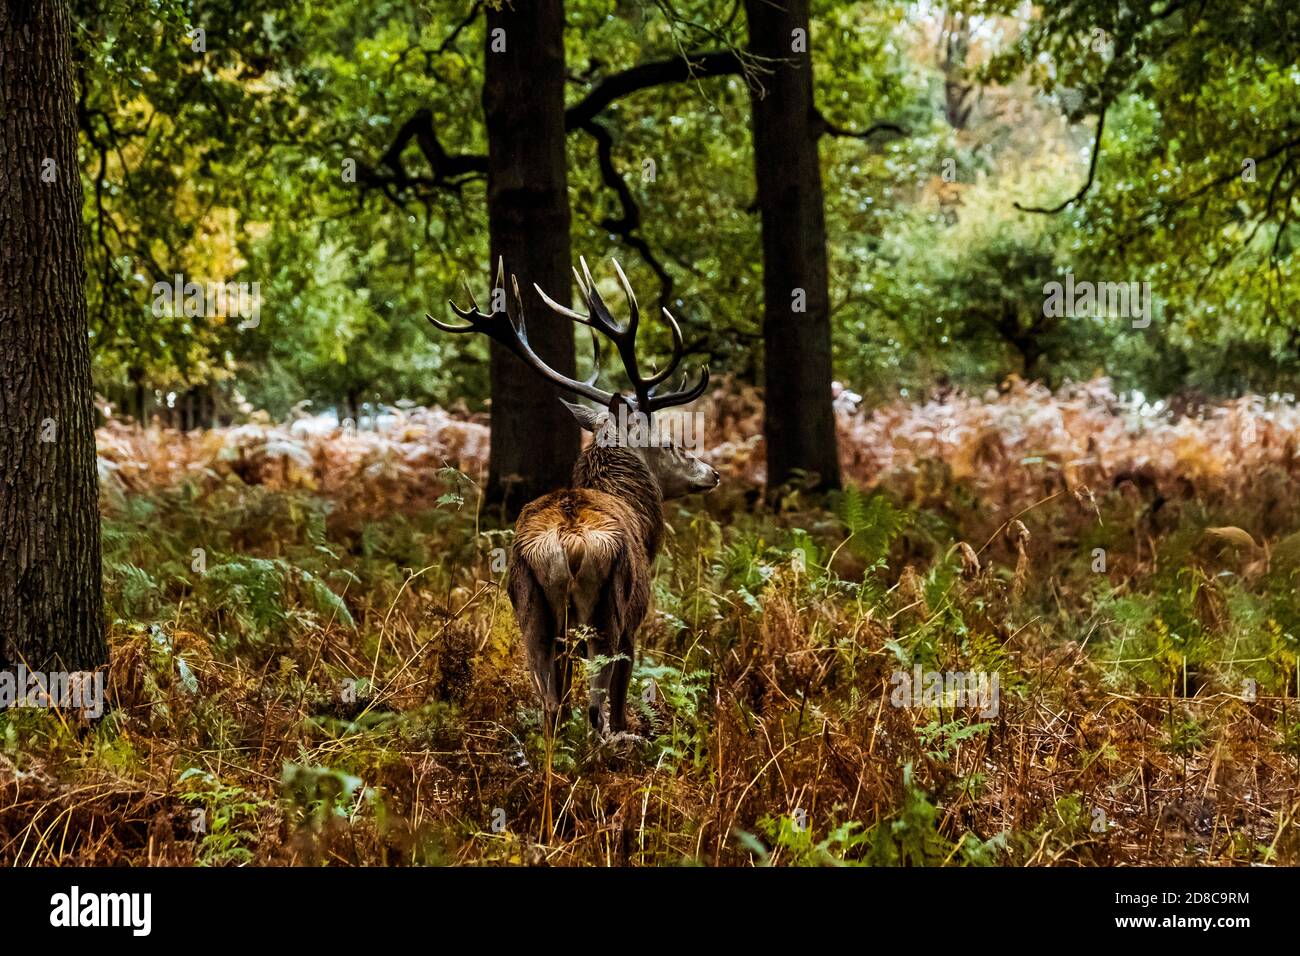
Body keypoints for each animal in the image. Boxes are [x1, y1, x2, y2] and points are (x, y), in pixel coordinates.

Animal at [427, 257, 719, 739]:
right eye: (670, 443)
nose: (712, 472)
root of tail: (566, 543)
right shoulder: (634, 623)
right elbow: (619, 698)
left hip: (531, 614)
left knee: (551, 707)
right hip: (606, 617)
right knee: (595, 712)